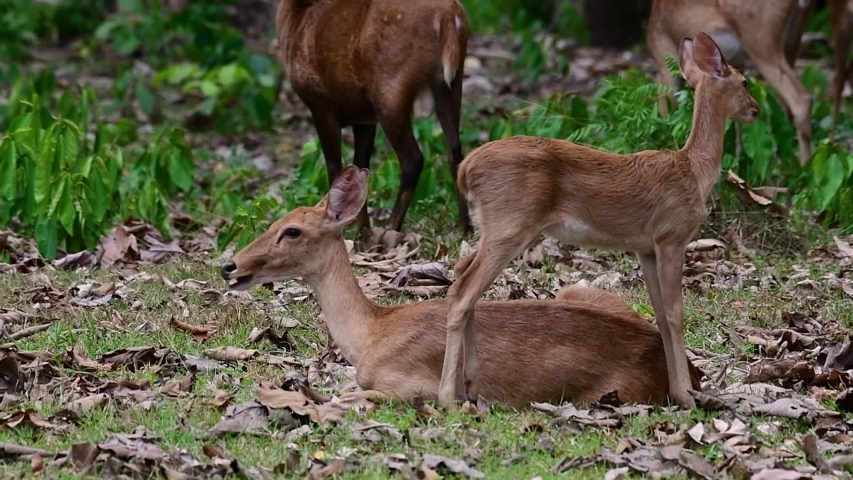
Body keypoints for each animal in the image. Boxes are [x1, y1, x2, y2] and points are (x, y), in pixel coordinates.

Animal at [220, 166, 703, 408]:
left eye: (292, 231)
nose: (230, 265)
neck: (372, 335)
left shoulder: (410, 385)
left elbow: (348, 394)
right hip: (580, 289)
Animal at [275, 0, 472, 244]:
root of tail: (447, 16)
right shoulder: (365, 117)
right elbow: (360, 167)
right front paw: (362, 231)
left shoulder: (320, 103)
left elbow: (335, 166)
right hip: (450, 84)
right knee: (455, 151)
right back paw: (465, 229)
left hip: (389, 91)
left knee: (413, 159)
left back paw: (389, 229)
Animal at [436, 33, 759, 411]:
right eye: (745, 81)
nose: (755, 109)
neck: (693, 171)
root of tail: (466, 170)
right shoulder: (671, 235)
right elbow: (675, 313)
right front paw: (685, 396)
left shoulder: (645, 248)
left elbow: (660, 315)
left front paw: (680, 391)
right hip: (511, 222)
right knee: (463, 292)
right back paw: (446, 397)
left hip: (496, 226)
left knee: (461, 272)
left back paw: (471, 386)